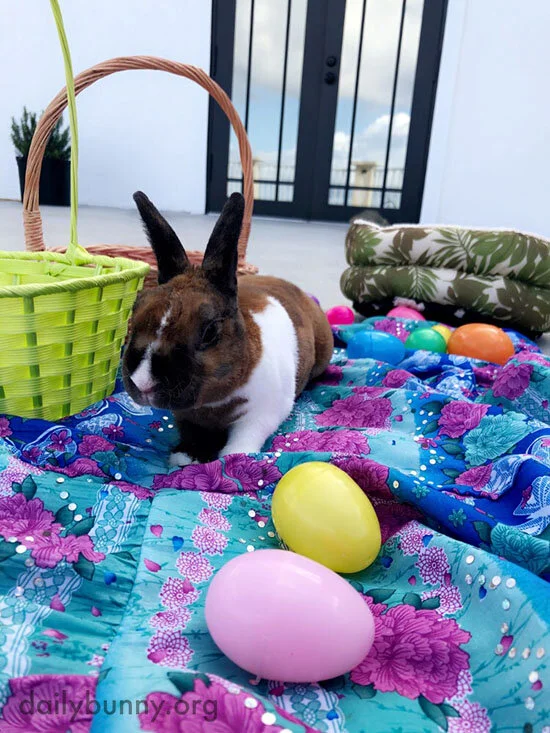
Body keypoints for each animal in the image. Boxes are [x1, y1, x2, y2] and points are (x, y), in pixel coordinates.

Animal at [122, 191, 334, 466]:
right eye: (136, 307)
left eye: (210, 331)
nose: (143, 381)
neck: (212, 405)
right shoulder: (186, 417)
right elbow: (191, 434)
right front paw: (185, 457)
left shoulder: (261, 415)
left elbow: (243, 439)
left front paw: (234, 458)